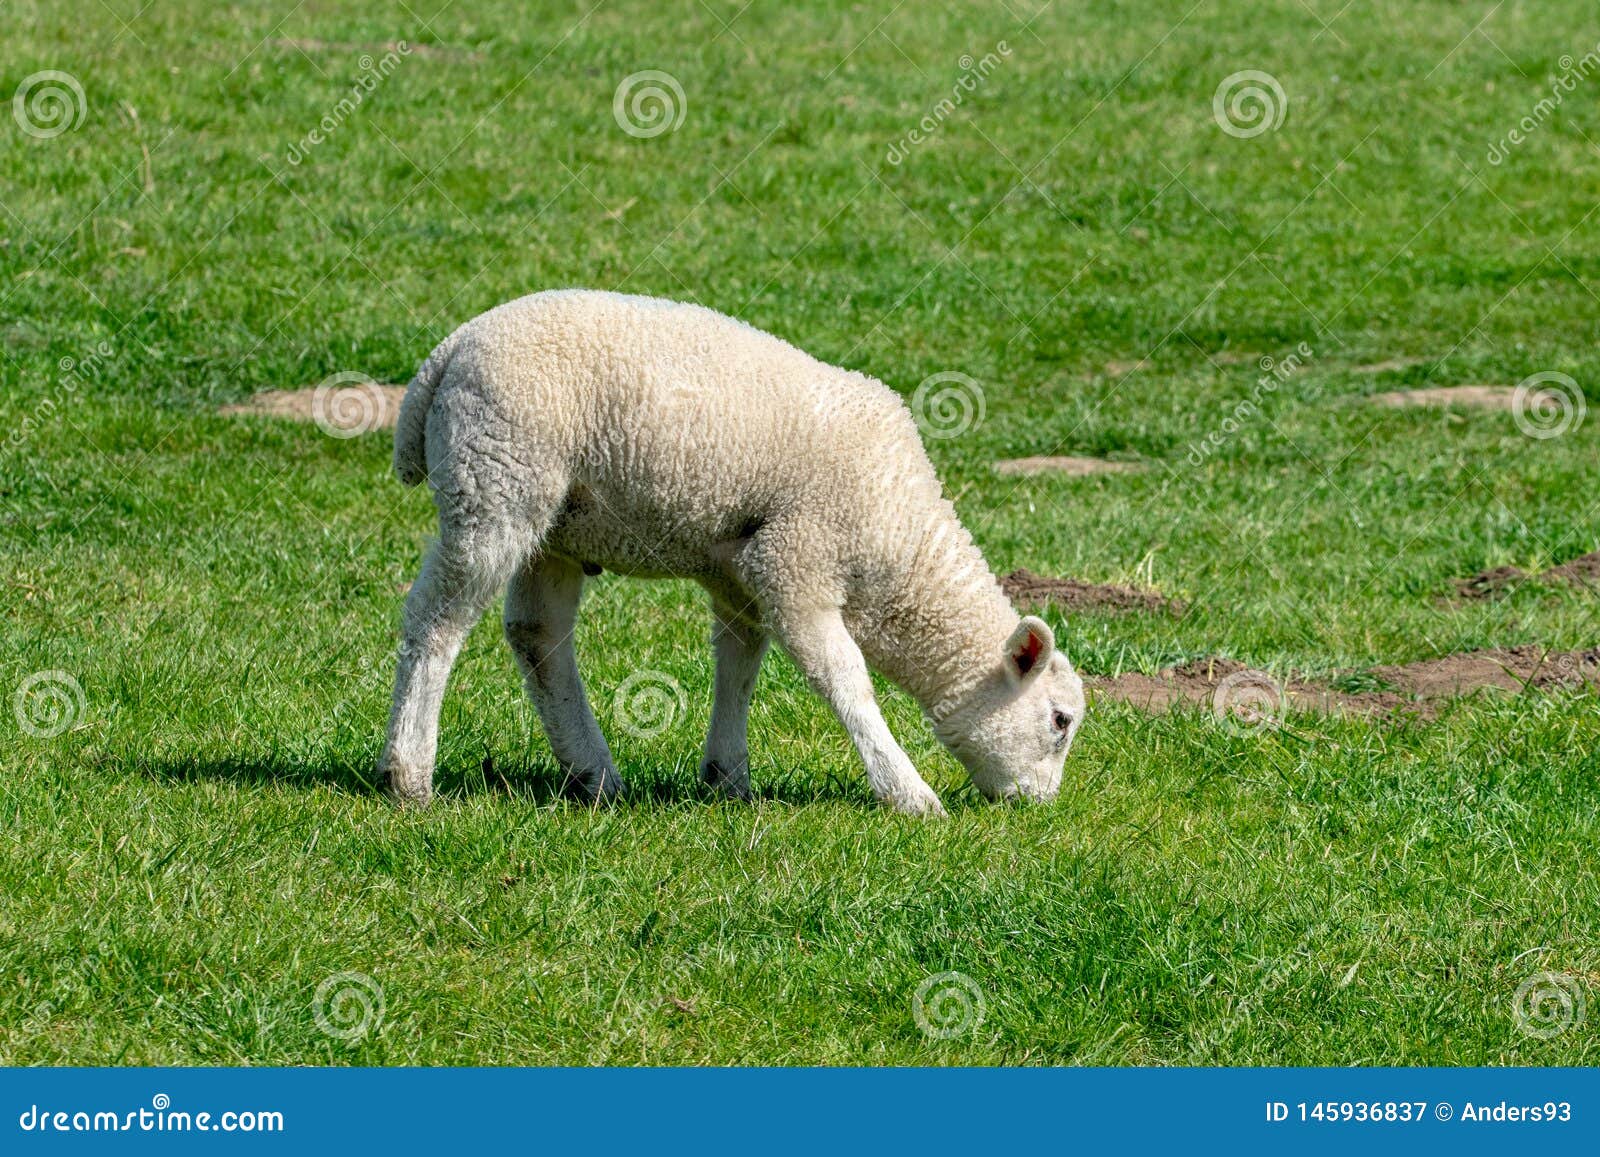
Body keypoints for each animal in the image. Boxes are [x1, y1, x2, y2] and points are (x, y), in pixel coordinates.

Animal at [378, 290, 1085, 815]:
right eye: (1060, 721)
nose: (1040, 807)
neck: (900, 549)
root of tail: (446, 354)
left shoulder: (740, 573)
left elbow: (739, 667)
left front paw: (727, 777)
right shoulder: (795, 563)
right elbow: (844, 679)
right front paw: (909, 794)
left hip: (554, 524)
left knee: (537, 636)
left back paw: (593, 774)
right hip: (496, 485)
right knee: (435, 624)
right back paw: (408, 774)